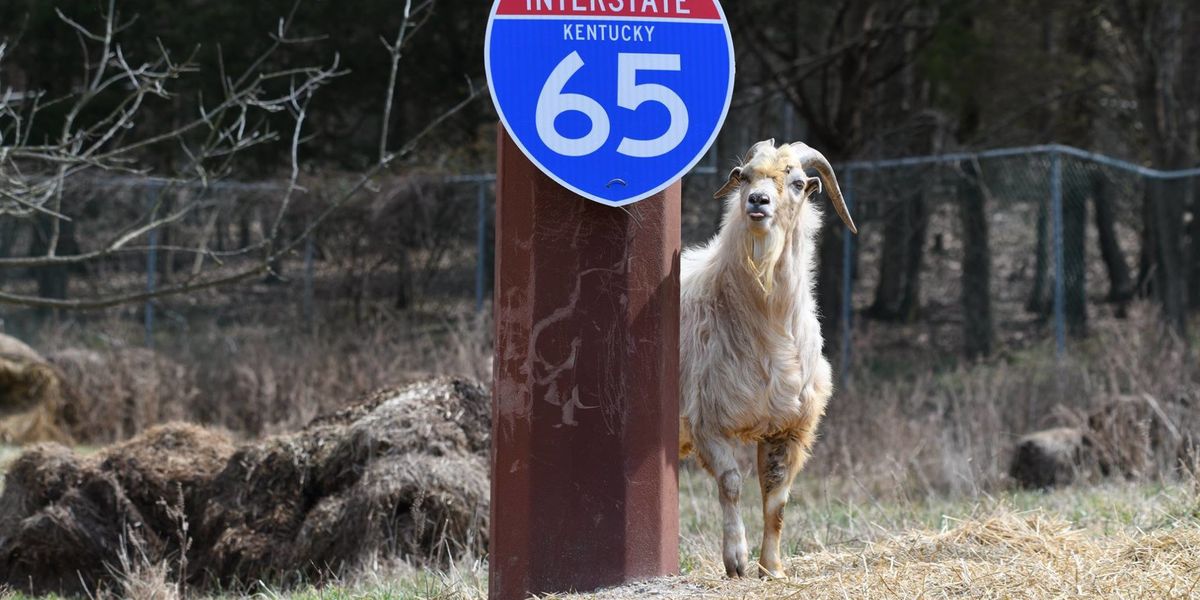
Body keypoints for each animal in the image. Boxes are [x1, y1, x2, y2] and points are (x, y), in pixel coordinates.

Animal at [679, 139, 857, 578]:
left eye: (797, 183)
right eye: (744, 176)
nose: (757, 202)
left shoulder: (789, 428)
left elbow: (777, 500)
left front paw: (772, 568)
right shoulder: (708, 423)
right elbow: (730, 484)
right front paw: (736, 561)